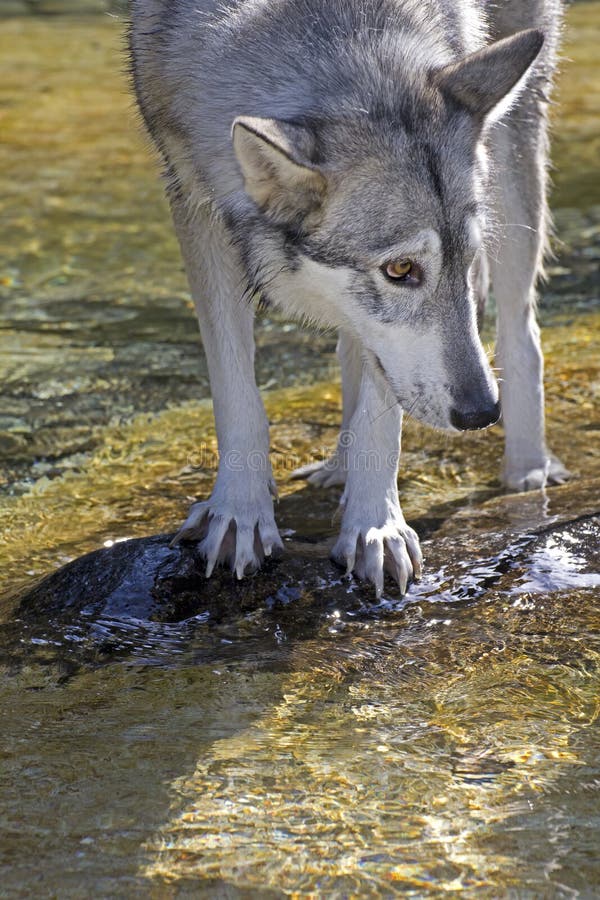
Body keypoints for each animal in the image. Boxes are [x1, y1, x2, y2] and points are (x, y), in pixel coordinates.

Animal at [129, 0, 569, 596]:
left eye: (463, 257)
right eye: (401, 270)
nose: (482, 412)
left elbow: (382, 417)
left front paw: (375, 529)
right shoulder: (197, 203)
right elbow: (237, 393)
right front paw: (239, 513)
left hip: (516, 142)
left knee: (522, 331)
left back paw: (528, 471)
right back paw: (338, 467)